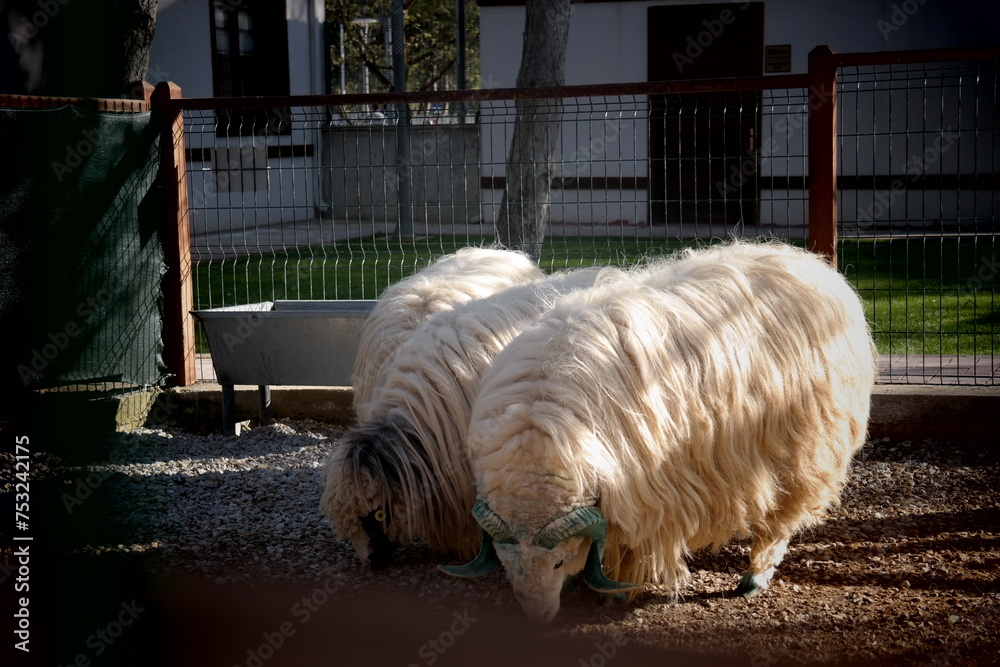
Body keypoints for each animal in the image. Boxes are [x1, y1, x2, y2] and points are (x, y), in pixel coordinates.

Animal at [440, 240, 877, 623]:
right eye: (504, 561)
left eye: (559, 559)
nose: (538, 618)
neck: (540, 425)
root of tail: (813, 266)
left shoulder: (642, 497)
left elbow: (626, 549)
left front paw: (617, 593)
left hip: (804, 449)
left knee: (782, 517)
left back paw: (755, 575)